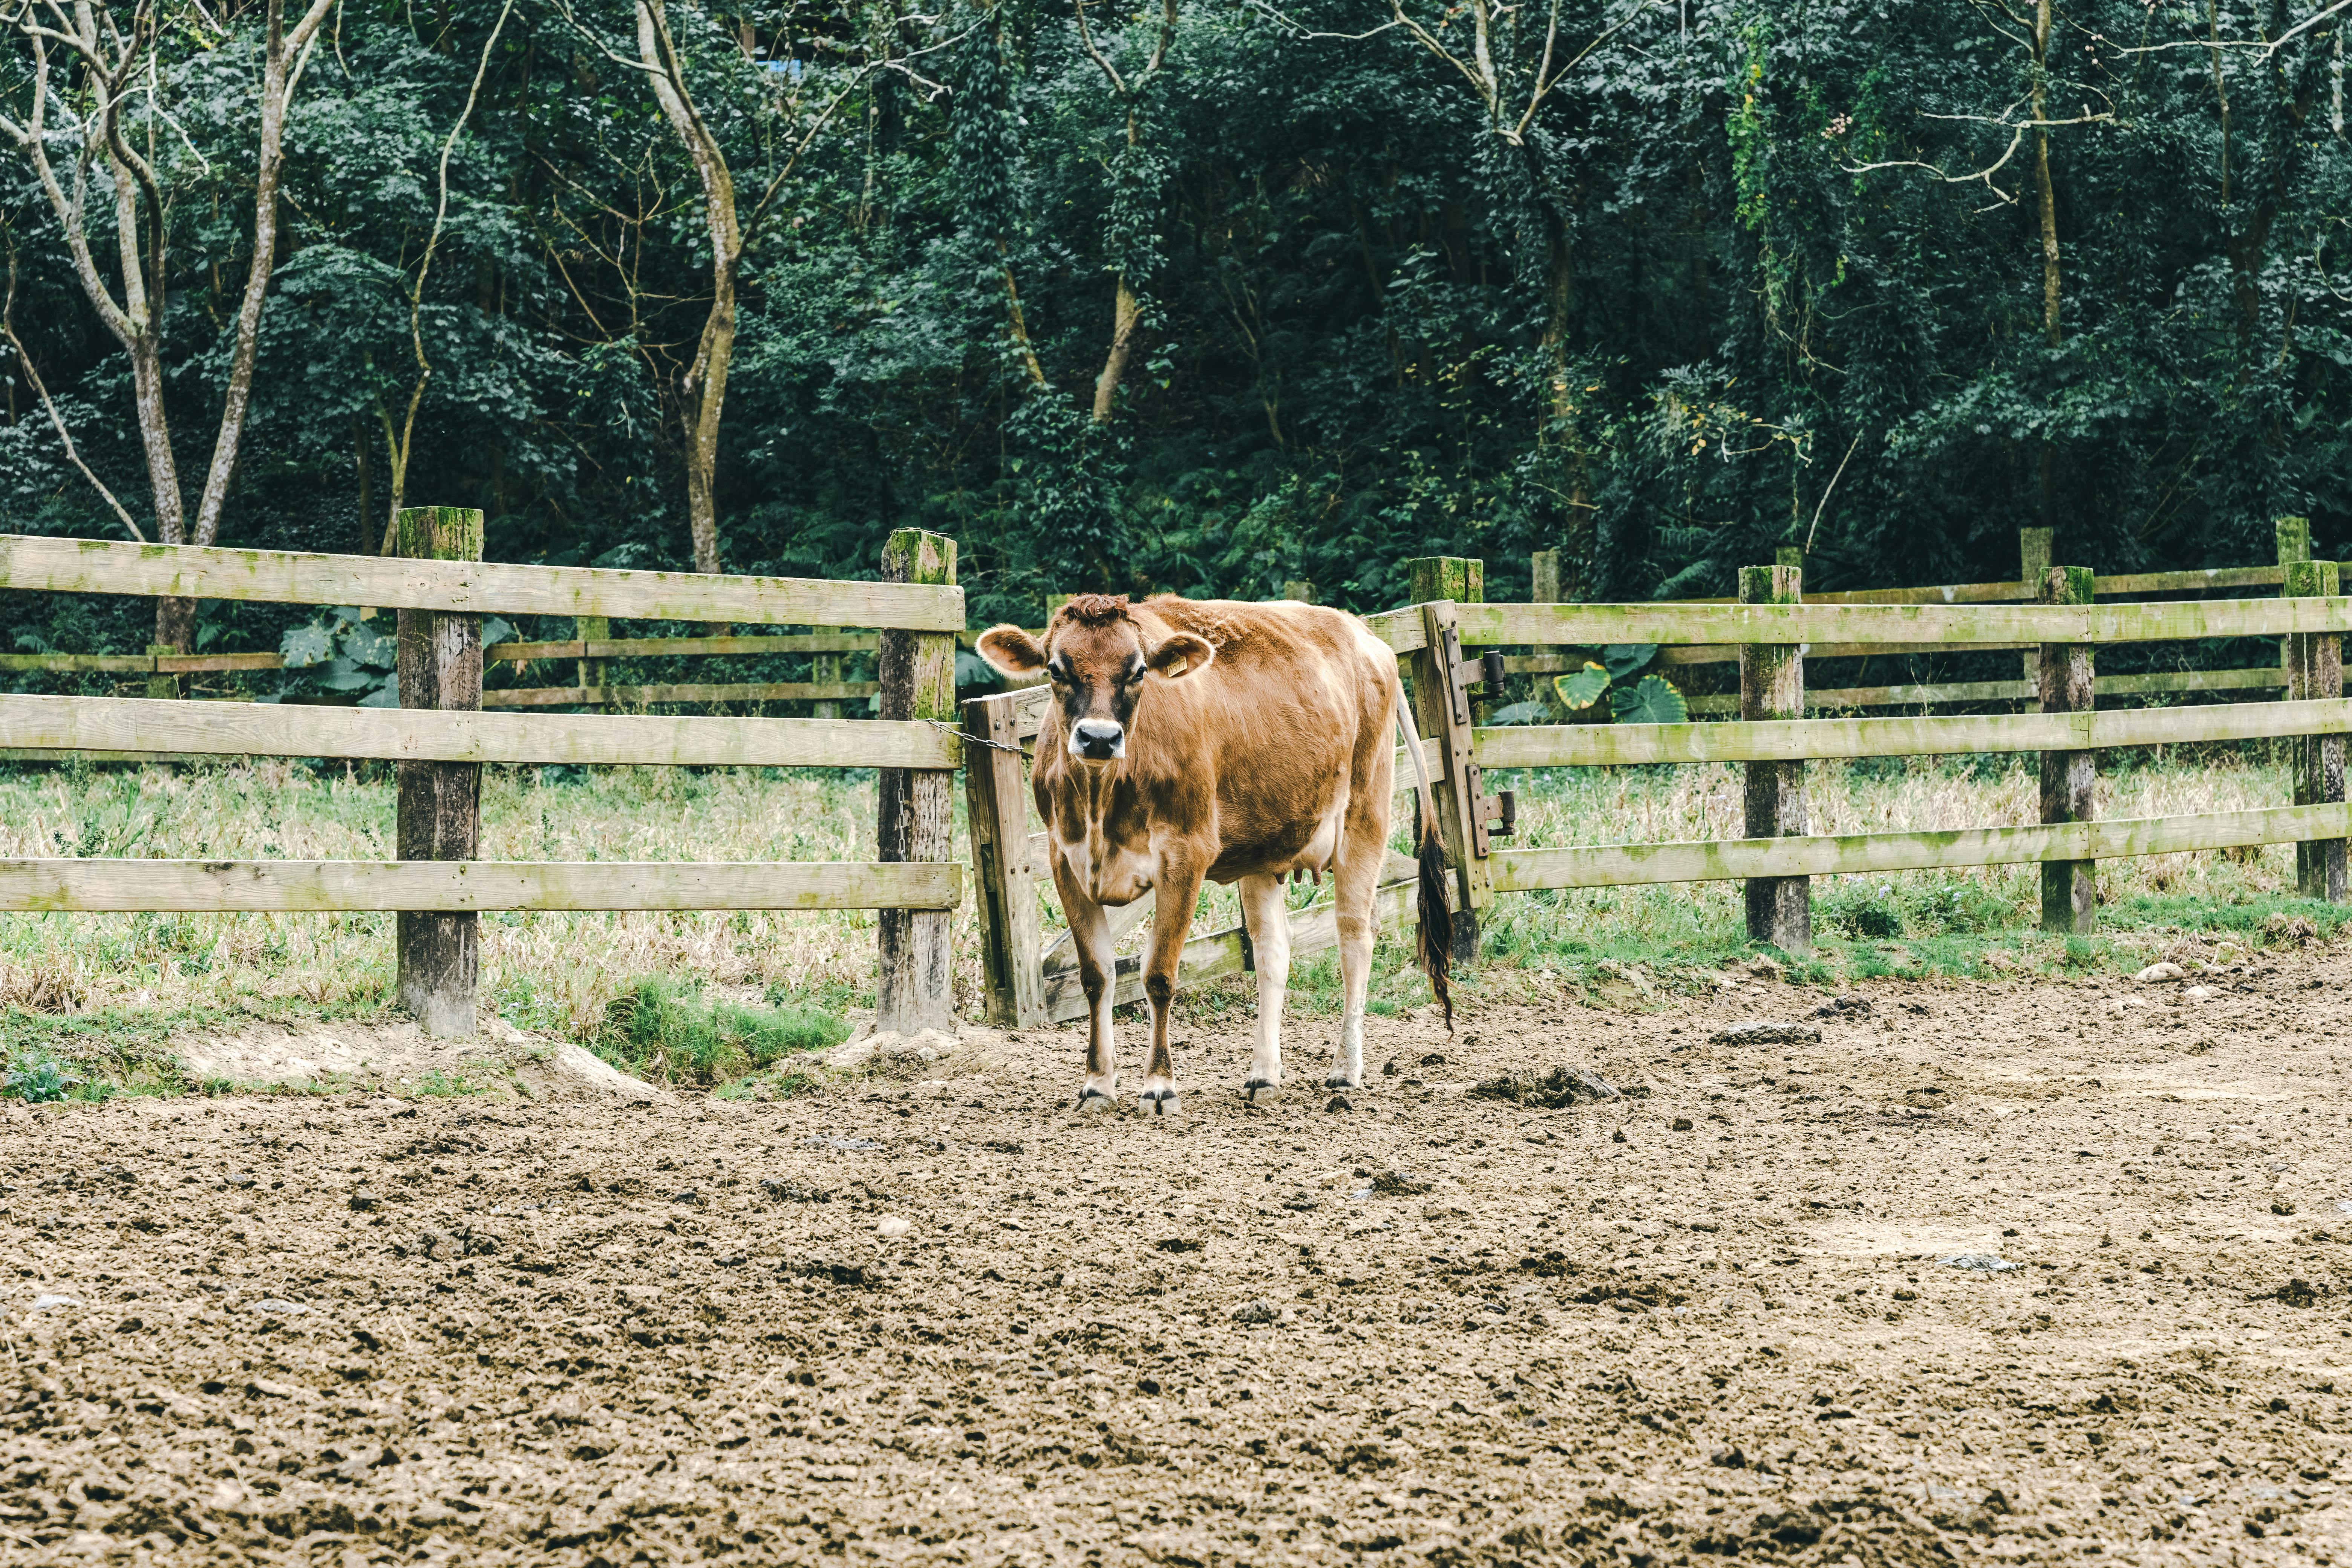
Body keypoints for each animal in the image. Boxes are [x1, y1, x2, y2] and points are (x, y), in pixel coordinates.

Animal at [974, 593, 1452, 1113]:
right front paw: (1098, 1084)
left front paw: (1159, 1085)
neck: (1103, 802)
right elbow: (1096, 977)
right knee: (1273, 951)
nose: (1099, 738)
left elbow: (1159, 975)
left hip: (1366, 816)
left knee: (1355, 938)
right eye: (1056, 669)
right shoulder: (1066, 860)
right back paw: (1264, 1075)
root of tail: (1364, 633)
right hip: (1264, 848)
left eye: (1139, 670)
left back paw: (1345, 1070)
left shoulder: (1185, 856)